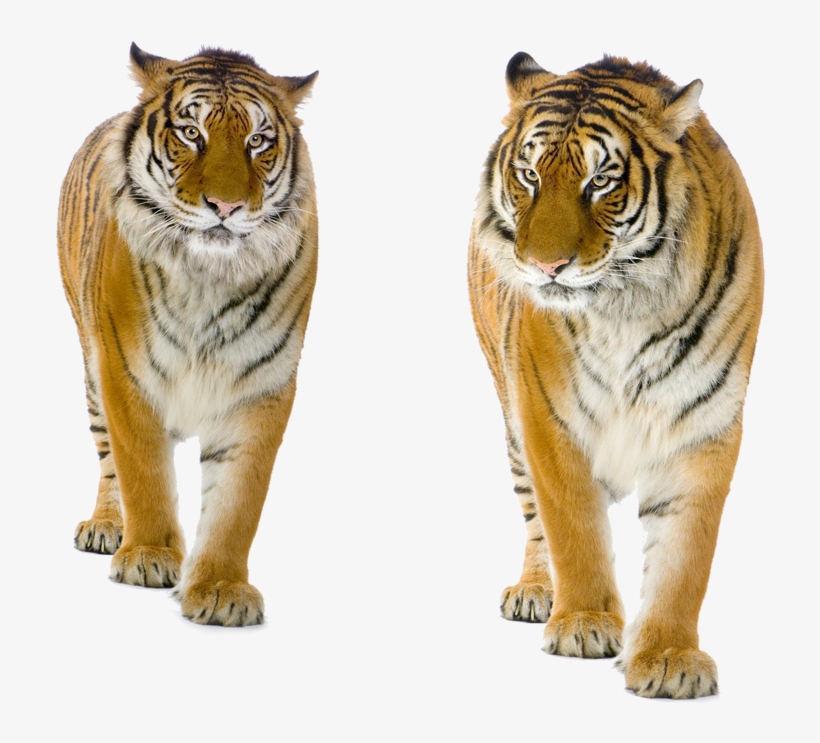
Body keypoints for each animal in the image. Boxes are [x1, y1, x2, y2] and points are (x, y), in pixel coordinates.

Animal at [58, 43, 318, 626]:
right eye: (191, 133)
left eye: (257, 141)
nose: (225, 207)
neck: (209, 276)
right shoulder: (126, 372)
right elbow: (143, 472)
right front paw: (149, 556)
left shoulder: (262, 386)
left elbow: (238, 502)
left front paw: (221, 588)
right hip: (89, 362)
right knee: (107, 456)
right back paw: (107, 527)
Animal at [468, 53, 763, 698]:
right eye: (528, 175)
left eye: (600, 181)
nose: (546, 266)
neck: (626, 306)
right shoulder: (547, 416)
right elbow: (573, 527)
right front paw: (583, 623)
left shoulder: (703, 422)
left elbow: (684, 557)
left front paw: (670, 656)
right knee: (534, 517)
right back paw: (535, 592)